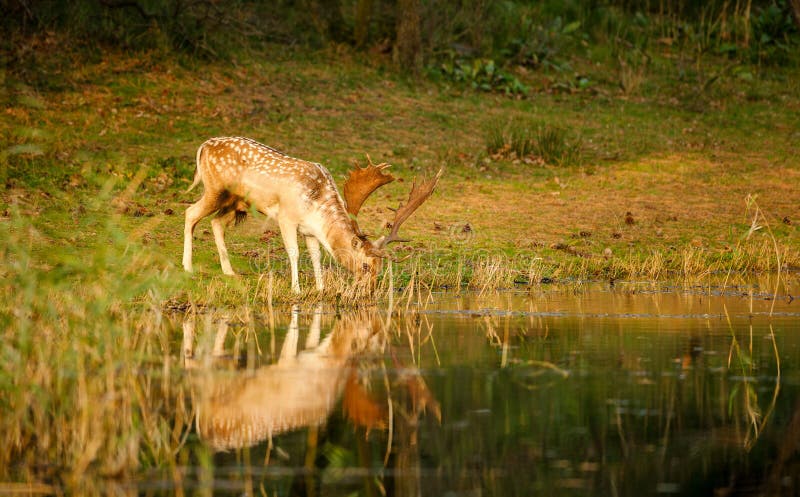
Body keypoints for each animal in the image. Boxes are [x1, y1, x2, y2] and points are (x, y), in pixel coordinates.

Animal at [183, 137, 441, 293]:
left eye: (380, 267)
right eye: (366, 266)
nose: (369, 290)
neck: (316, 207)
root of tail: (203, 146)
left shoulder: (309, 231)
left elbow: (316, 256)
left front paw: (320, 288)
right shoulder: (286, 217)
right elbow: (294, 252)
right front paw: (296, 289)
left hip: (236, 202)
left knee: (216, 222)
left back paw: (229, 271)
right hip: (216, 189)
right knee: (190, 212)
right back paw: (187, 267)